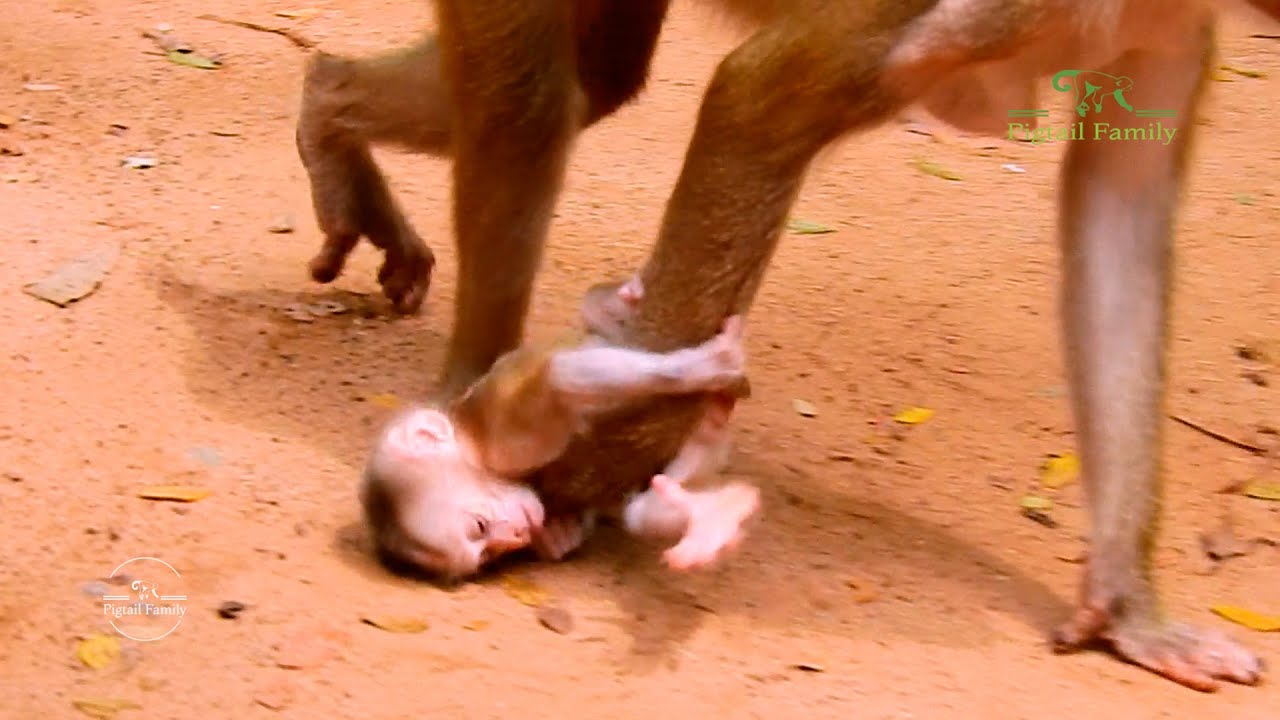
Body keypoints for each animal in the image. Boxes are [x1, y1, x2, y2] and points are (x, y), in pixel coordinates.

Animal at [361, 314, 761, 582]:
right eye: (488, 553)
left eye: (478, 526)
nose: (514, 537)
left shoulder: (506, 435)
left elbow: (558, 377)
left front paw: (709, 364)